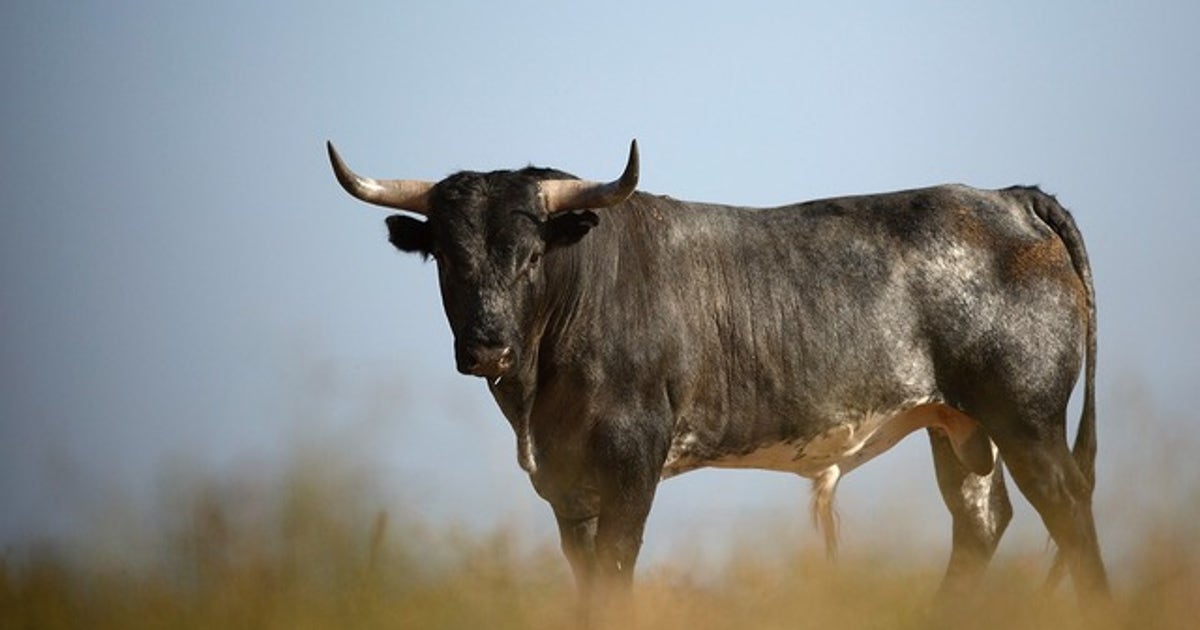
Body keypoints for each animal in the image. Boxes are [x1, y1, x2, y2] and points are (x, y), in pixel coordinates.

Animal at [328, 140, 1108, 611]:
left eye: (529, 256)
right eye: (447, 257)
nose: (488, 348)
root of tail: (1007, 197)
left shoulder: (632, 463)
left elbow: (617, 572)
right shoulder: (564, 484)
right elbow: (587, 579)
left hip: (1027, 416)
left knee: (1068, 506)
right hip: (960, 424)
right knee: (981, 519)